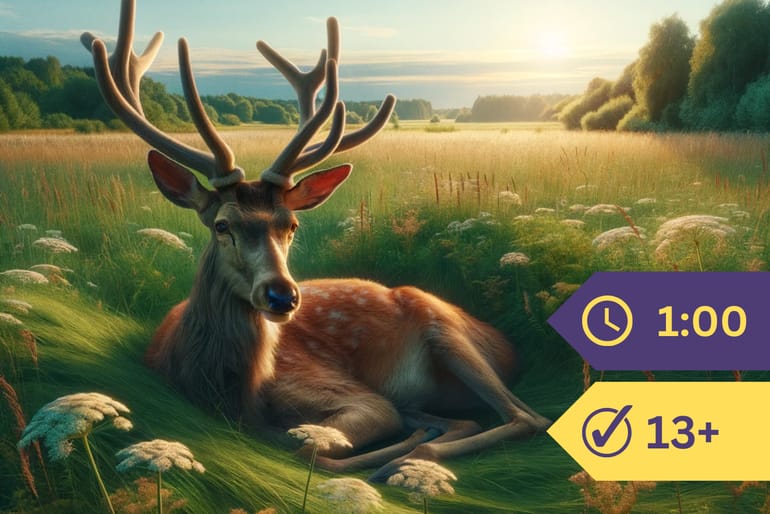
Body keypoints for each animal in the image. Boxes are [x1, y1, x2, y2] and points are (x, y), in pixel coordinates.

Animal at [82, 0, 550, 479]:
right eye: (222, 225)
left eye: (292, 225)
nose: (282, 295)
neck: (224, 391)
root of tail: (508, 345)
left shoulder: (346, 391)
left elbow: (307, 449)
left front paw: (398, 452)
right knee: (467, 418)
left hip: (445, 329)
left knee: (528, 417)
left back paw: (409, 457)